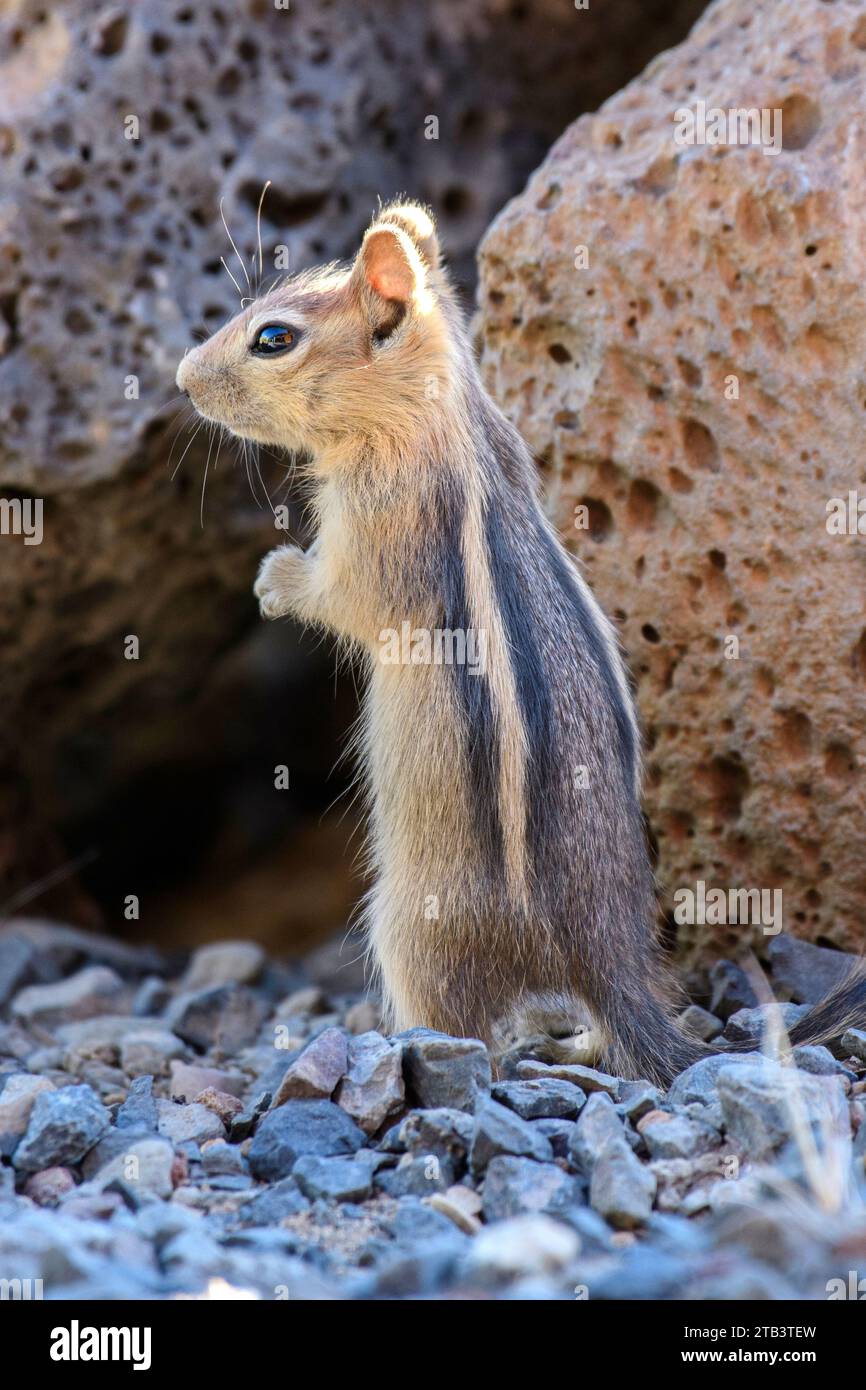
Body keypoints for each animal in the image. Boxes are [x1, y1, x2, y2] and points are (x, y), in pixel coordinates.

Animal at [177, 200, 866, 1086]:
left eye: (273, 338)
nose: (183, 377)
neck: (436, 413)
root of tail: (608, 961)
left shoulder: (380, 522)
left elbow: (343, 598)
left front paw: (274, 579)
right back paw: (572, 1042)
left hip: (411, 926)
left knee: (466, 1030)